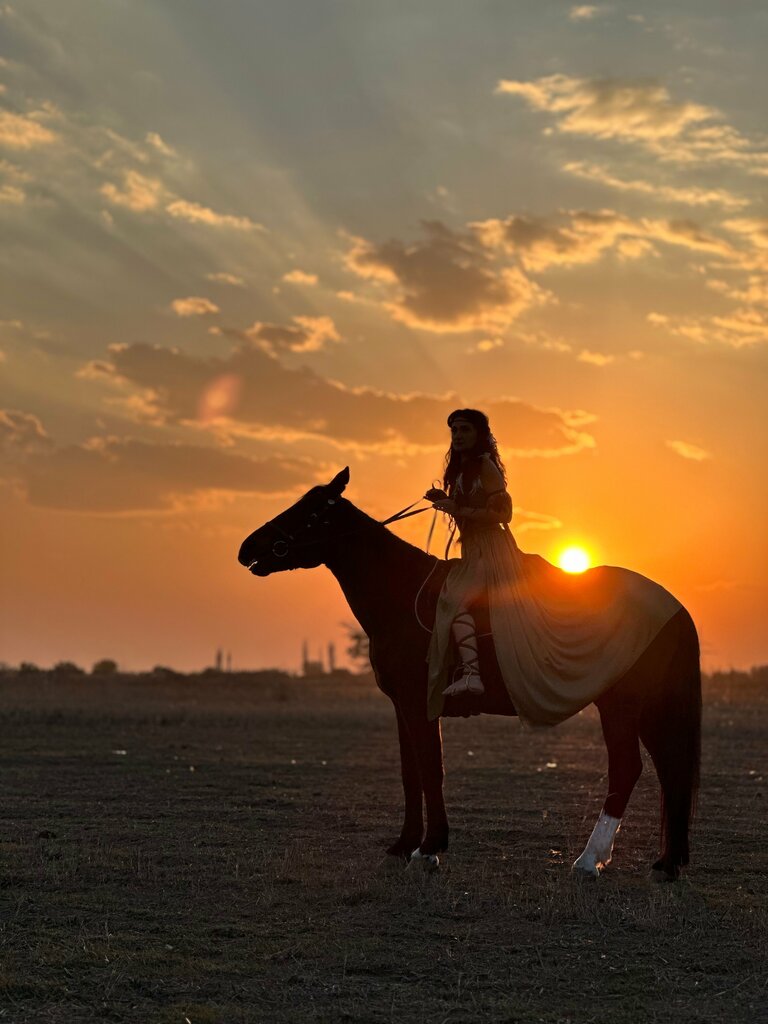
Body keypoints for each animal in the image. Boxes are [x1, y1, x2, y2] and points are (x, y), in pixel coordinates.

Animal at [237, 467, 701, 882]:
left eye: (311, 511)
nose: (247, 548)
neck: (404, 593)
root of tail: (671, 605)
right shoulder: (403, 707)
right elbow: (411, 773)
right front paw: (404, 846)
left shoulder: (419, 703)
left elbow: (431, 768)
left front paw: (430, 849)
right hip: (651, 708)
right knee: (668, 769)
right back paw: (667, 862)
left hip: (620, 705)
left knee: (627, 768)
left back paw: (590, 861)